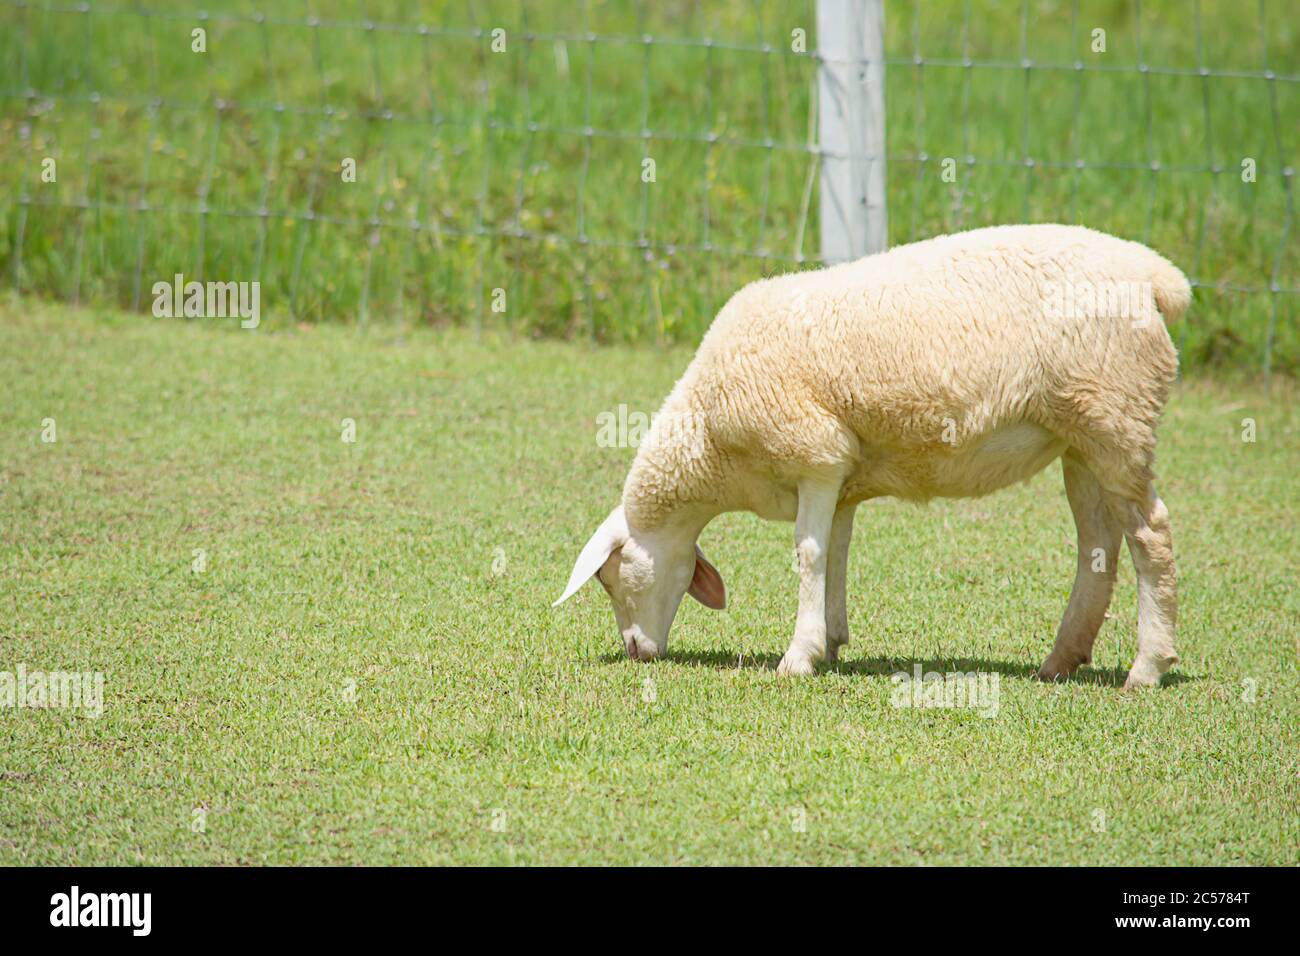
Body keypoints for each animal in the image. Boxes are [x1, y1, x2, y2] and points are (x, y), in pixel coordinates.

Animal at [554, 224, 1190, 689]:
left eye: (609, 577)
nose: (635, 651)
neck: (710, 438)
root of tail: (1155, 276)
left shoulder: (815, 455)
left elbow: (809, 554)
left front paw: (798, 657)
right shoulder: (842, 478)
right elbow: (836, 553)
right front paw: (831, 642)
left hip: (1117, 420)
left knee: (1151, 535)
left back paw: (1147, 667)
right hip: (1083, 437)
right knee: (1098, 547)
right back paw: (1061, 660)